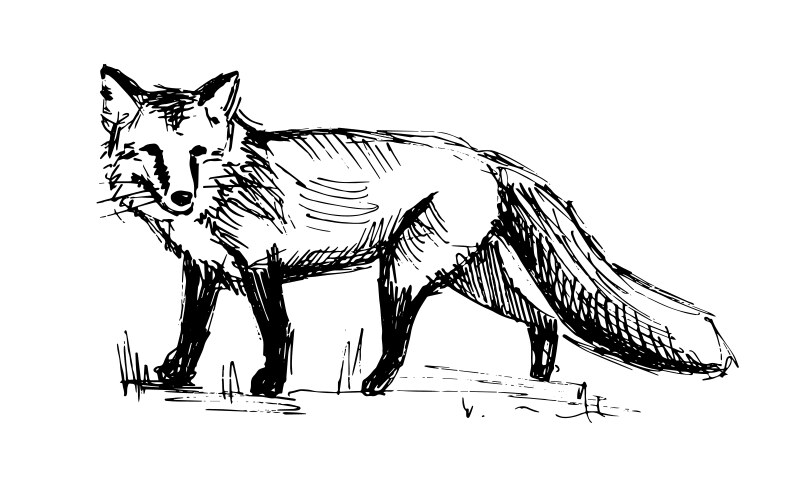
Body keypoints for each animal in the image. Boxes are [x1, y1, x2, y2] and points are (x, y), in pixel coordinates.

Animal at [100, 65, 737, 397]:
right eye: (152, 151)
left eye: (199, 154)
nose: (180, 198)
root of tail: (486, 156)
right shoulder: (204, 269)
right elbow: (191, 329)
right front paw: (175, 376)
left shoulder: (261, 267)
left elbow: (276, 330)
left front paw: (271, 383)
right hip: (478, 278)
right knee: (546, 320)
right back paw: (538, 379)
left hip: (401, 274)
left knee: (403, 339)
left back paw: (375, 383)